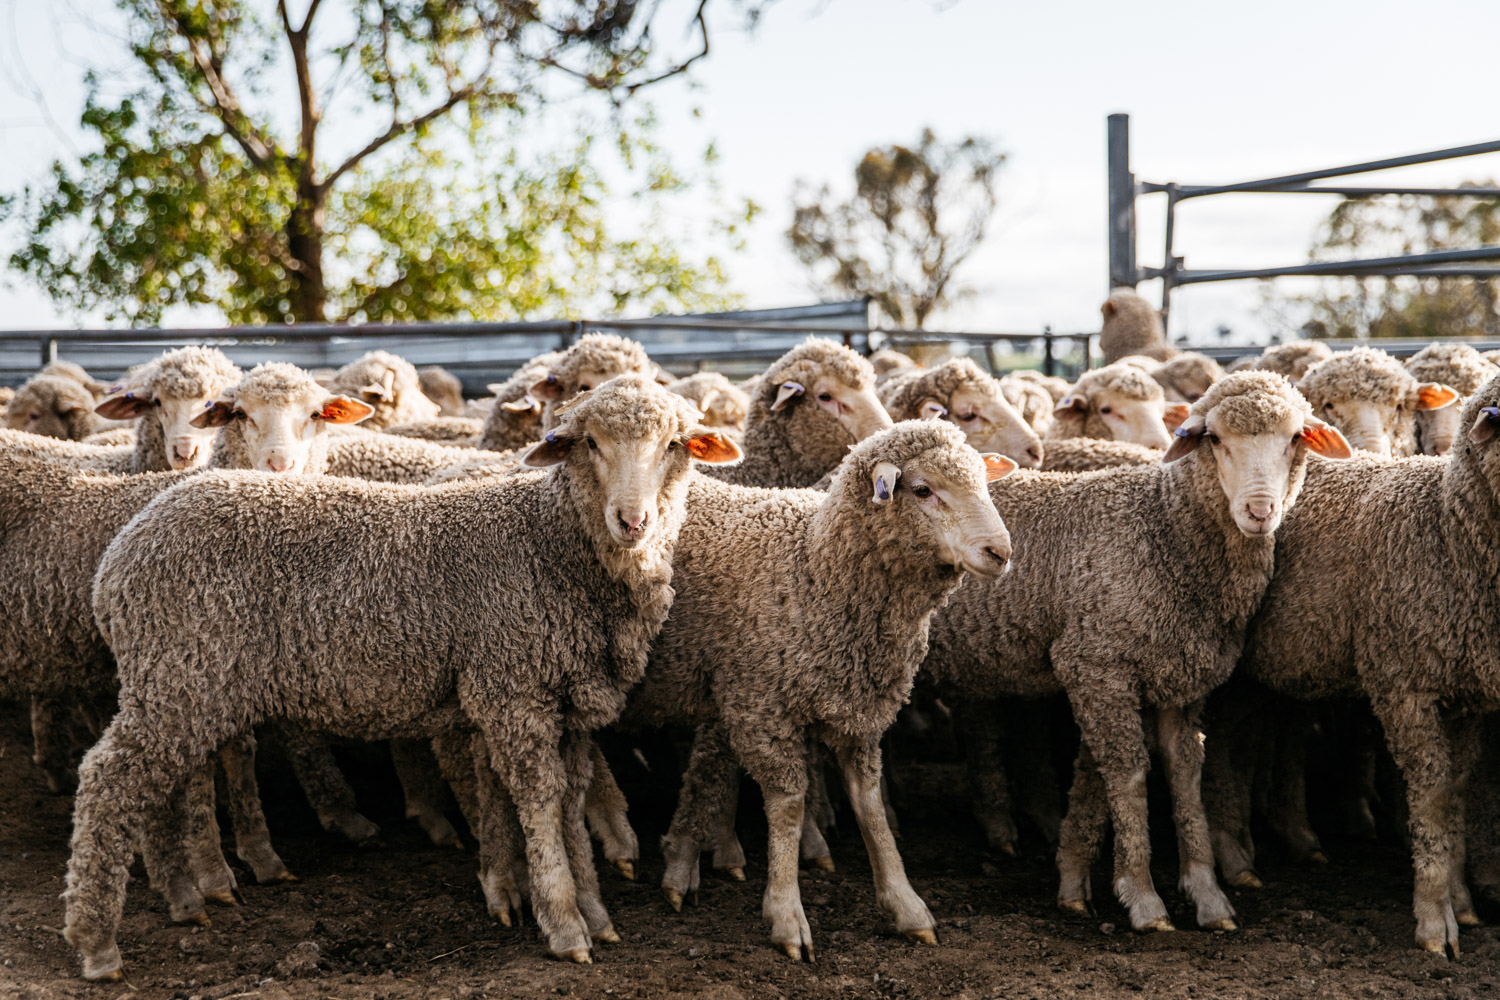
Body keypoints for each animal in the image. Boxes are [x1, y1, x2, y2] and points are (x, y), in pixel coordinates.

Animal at [62, 376, 743, 979]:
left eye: (676, 445)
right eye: (589, 444)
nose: (633, 520)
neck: (553, 545)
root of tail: (120, 555)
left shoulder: (570, 702)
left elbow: (571, 804)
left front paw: (596, 915)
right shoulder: (513, 689)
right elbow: (541, 803)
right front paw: (565, 925)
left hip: (181, 681)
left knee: (158, 783)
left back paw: (181, 895)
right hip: (179, 673)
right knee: (106, 781)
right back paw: (97, 944)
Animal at [621, 420, 1015, 960]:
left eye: (982, 480)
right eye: (922, 490)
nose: (1001, 552)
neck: (815, 568)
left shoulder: (858, 711)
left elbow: (870, 807)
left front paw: (906, 906)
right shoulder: (762, 706)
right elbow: (789, 807)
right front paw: (787, 915)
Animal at [922, 372, 1352, 933]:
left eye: (1296, 438)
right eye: (1215, 439)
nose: (1259, 511)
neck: (1162, 530)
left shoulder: (1179, 675)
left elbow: (1182, 773)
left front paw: (1205, 893)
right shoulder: (1097, 664)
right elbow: (1127, 775)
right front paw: (1144, 898)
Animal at [1213, 375, 1500, 955]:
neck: (1446, 529)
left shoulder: (1464, 692)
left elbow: (1456, 791)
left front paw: (1461, 901)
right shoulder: (1403, 682)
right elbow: (1432, 799)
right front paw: (1435, 920)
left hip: (1258, 674)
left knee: (1233, 740)